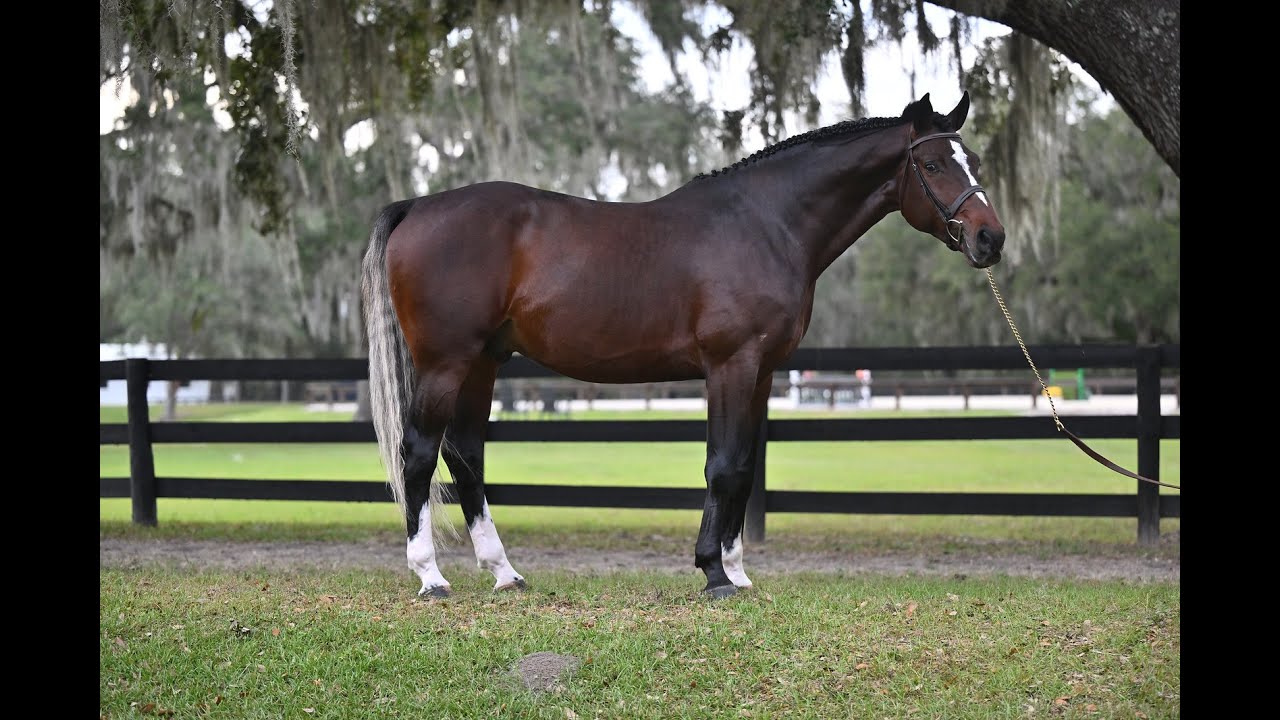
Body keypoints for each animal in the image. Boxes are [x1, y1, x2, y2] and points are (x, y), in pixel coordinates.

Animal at [360, 91, 1006, 599]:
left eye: (972, 160)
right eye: (932, 163)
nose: (990, 239)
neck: (764, 225)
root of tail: (418, 206)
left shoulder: (762, 373)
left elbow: (742, 467)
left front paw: (738, 573)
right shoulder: (730, 365)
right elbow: (720, 465)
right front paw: (714, 575)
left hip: (483, 362)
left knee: (466, 454)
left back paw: (505, 573)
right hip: (446, 362)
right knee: (419, 453)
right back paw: (431, 577)